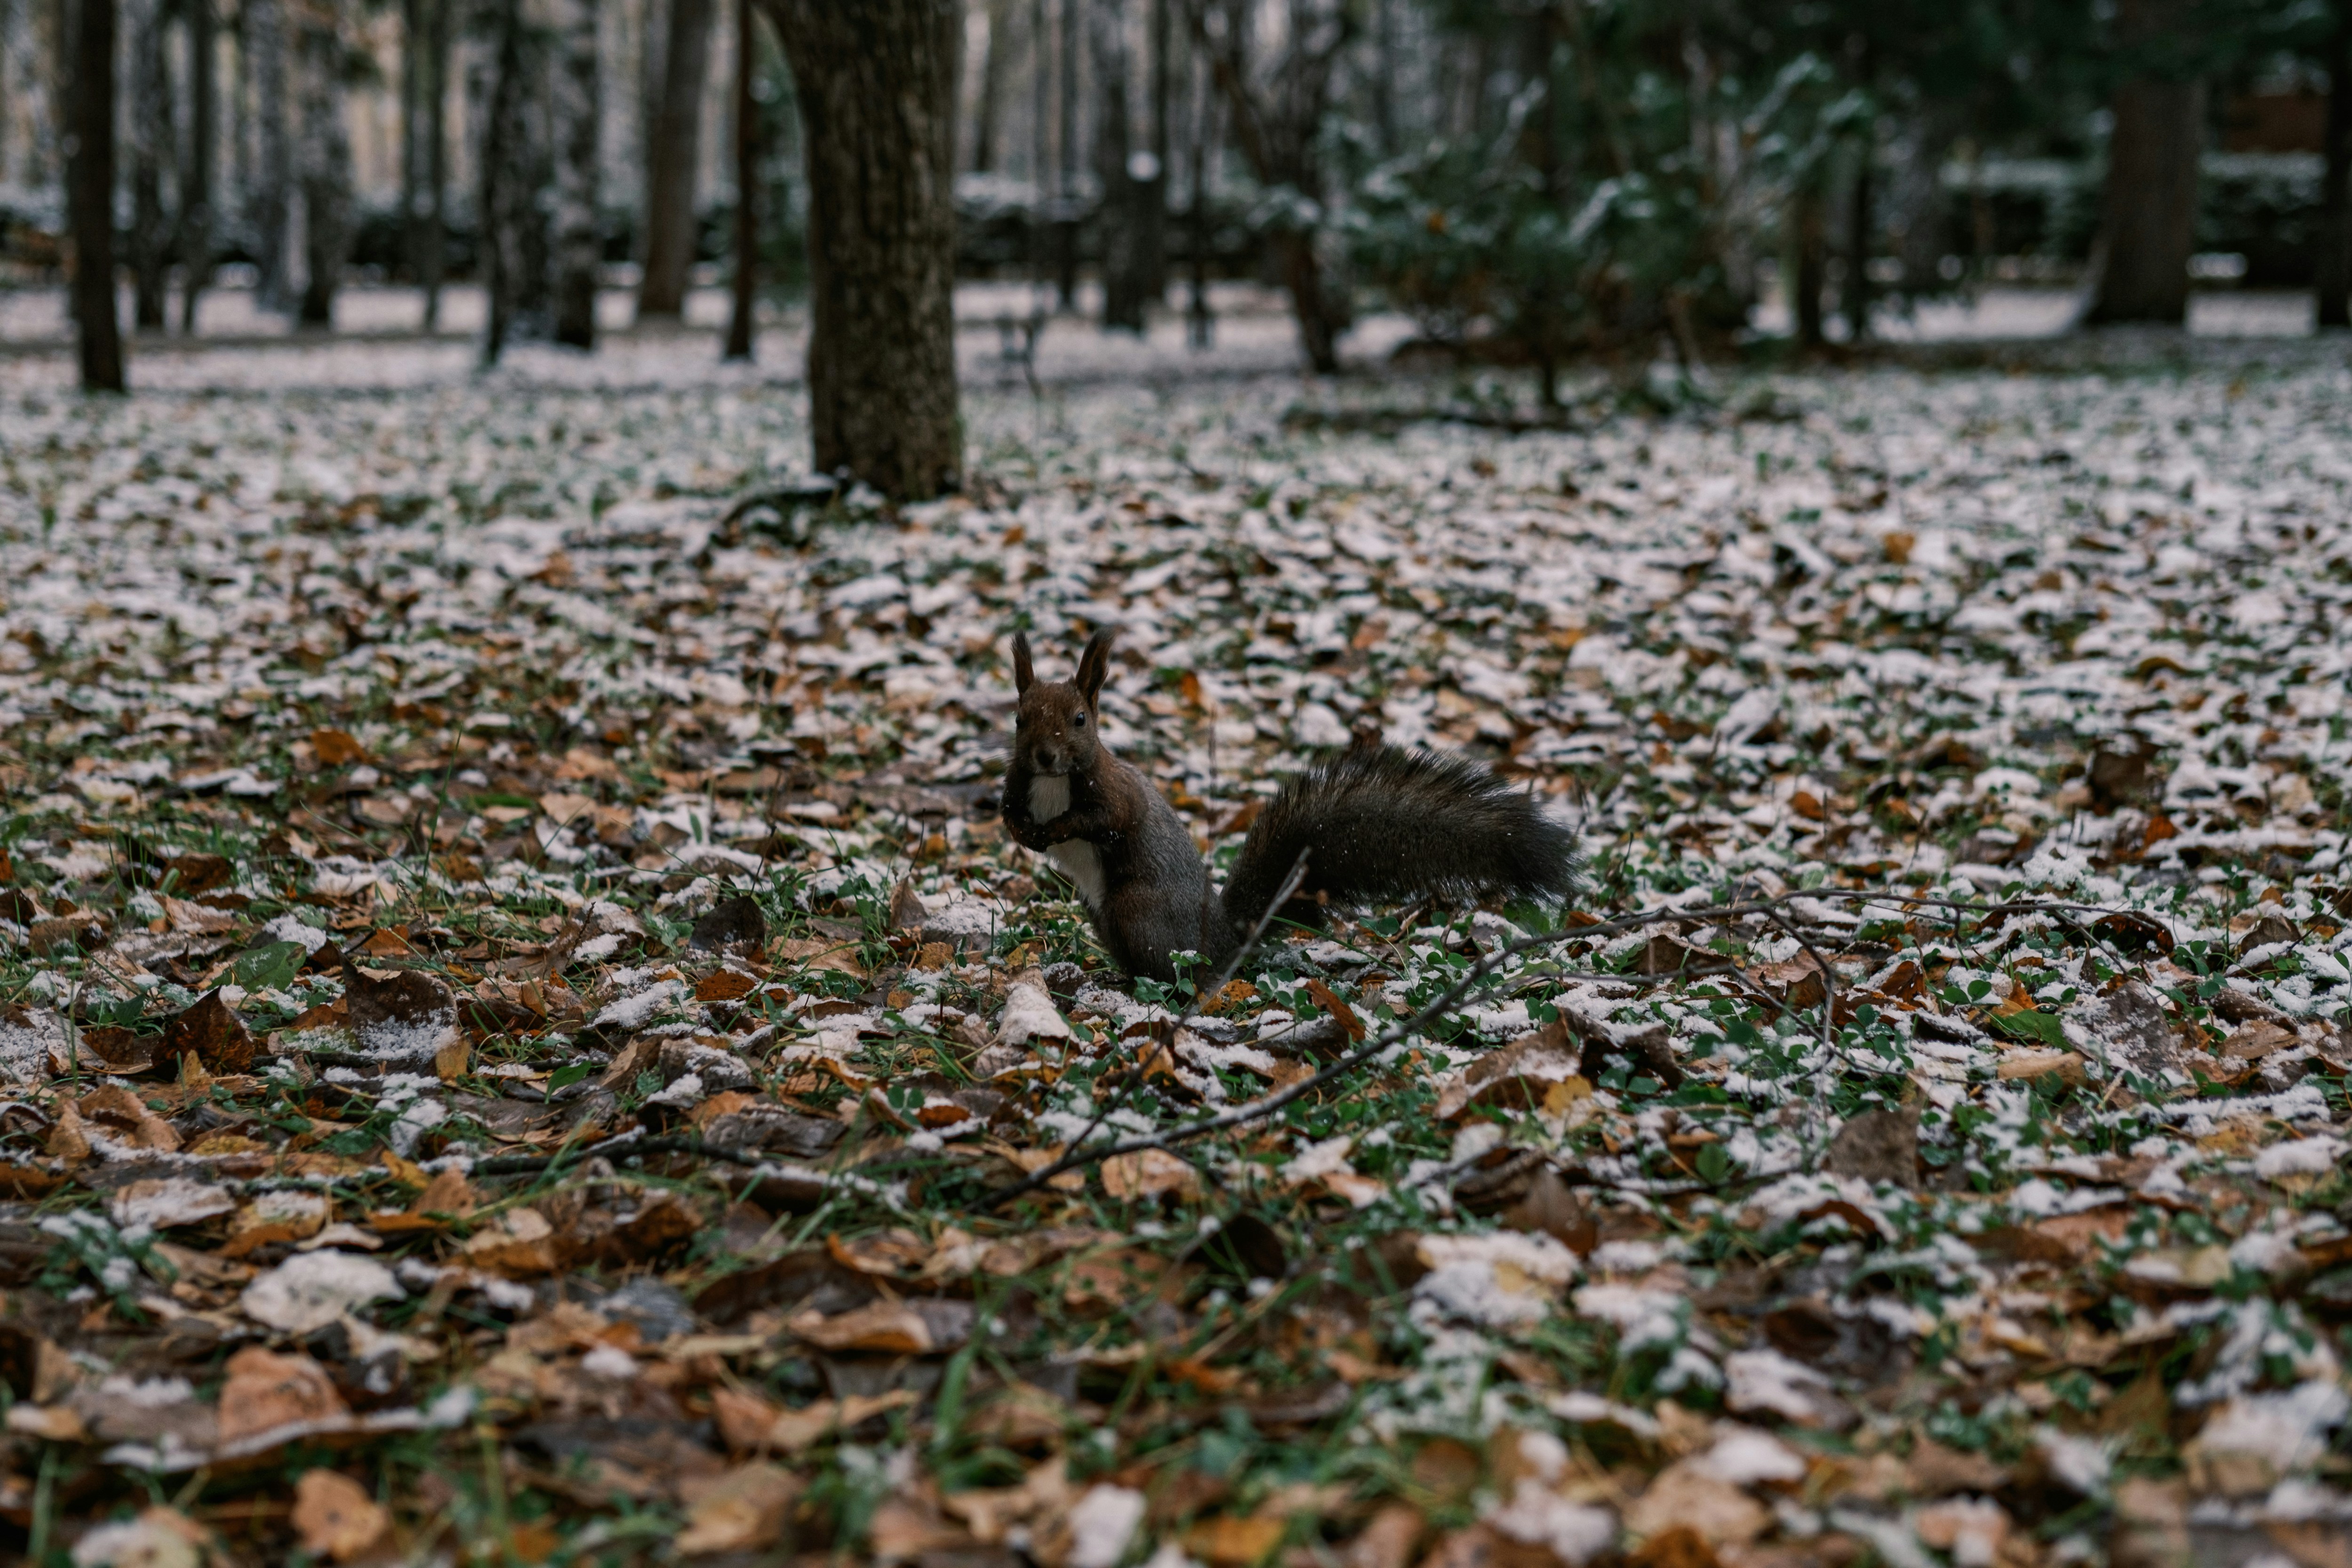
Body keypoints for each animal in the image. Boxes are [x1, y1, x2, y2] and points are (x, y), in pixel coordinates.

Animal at [1000, 628, 1581, 985]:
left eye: (1079, 720)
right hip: (1103, 912)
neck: (1052, 783)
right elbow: (1010, 815)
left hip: (1137, 909)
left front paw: (1058, 828)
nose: (1045, 755)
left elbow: (1108, 819)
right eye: (1018, 718)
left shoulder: (1117, 796)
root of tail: (1225, 939)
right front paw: (1023, 831)